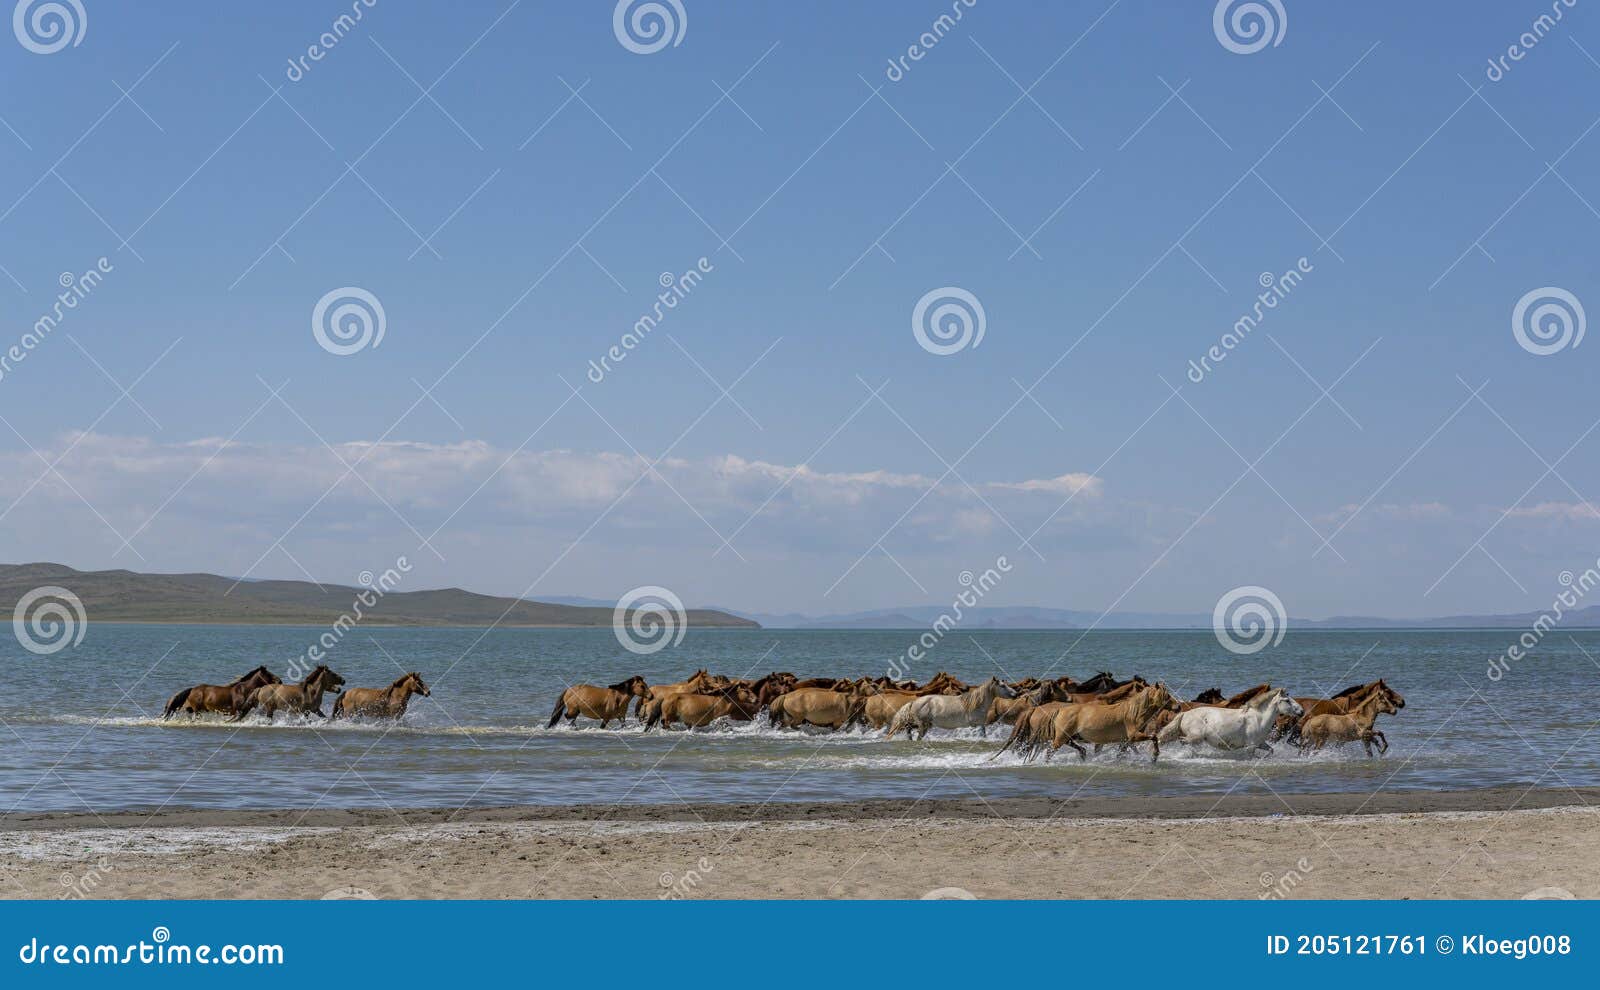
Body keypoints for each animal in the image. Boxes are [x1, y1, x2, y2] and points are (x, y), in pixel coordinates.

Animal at [885, 677, 1014, 740]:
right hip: (923, 726)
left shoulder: (980, 724)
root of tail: (914, 702)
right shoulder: (976, 724)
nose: (1015, 693)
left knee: (908, 729)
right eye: (1002, 686)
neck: (975, 703)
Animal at [1157, 688, 1303, 754]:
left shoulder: (1261, 744)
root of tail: (1185, 713)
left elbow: (1271, 751)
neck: (1259, 719)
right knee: (1183, 741)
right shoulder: (1251, 746)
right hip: (1195, 737)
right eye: (1287, 700)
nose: (1301, 711)